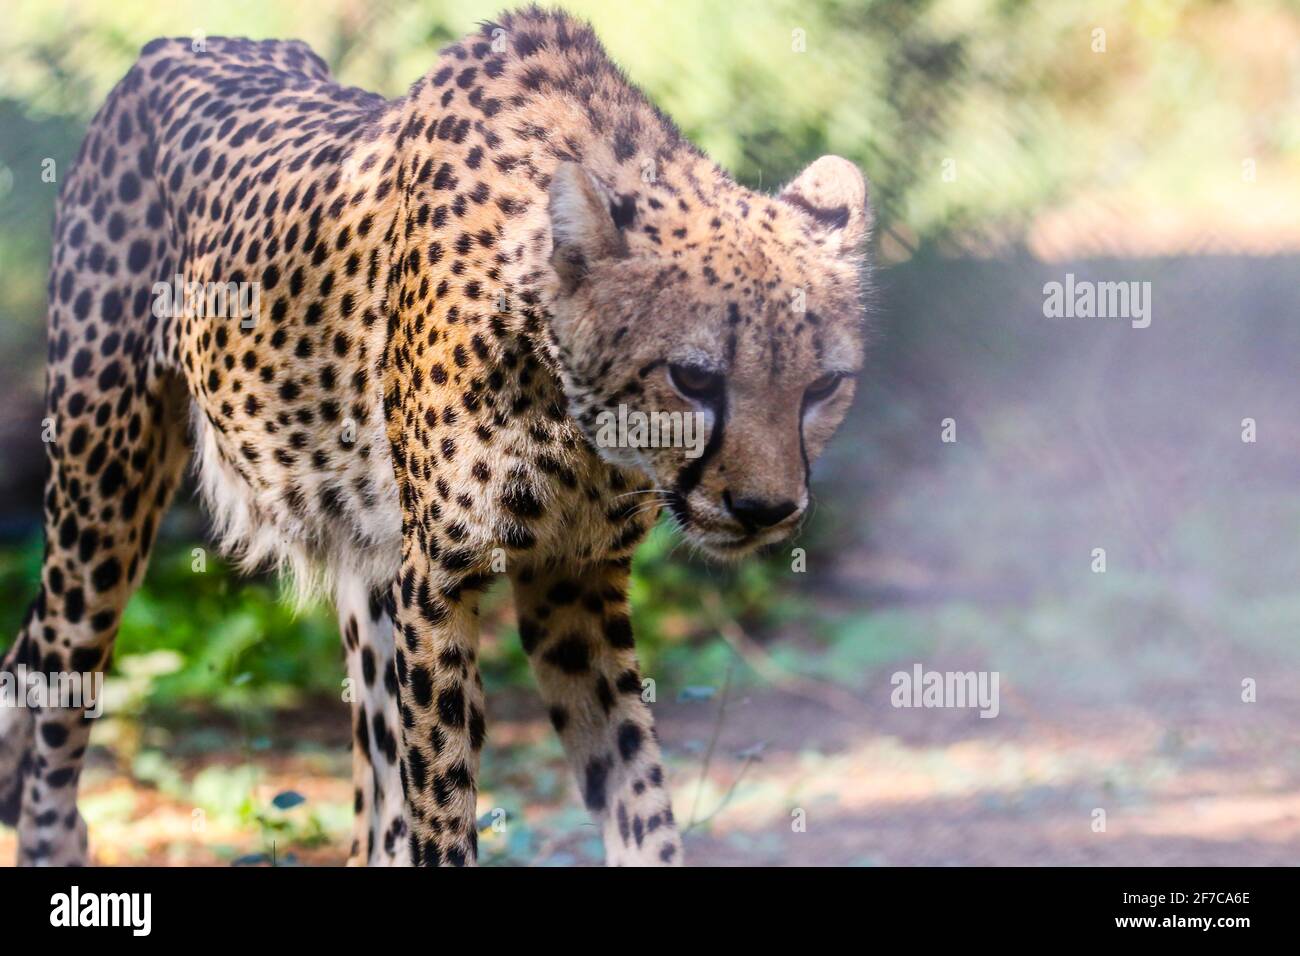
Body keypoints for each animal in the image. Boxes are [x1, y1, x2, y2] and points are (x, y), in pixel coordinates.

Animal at [0, 5, 871, 866]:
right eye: (692, 378)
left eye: (823, 386)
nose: (765, 510)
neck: (575, 420)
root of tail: (186, 40)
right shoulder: (439, 583)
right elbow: (444, 801)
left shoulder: (574, 581)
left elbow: (636, 794)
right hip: (103, 493)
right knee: (54, 692)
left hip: (363, 563)